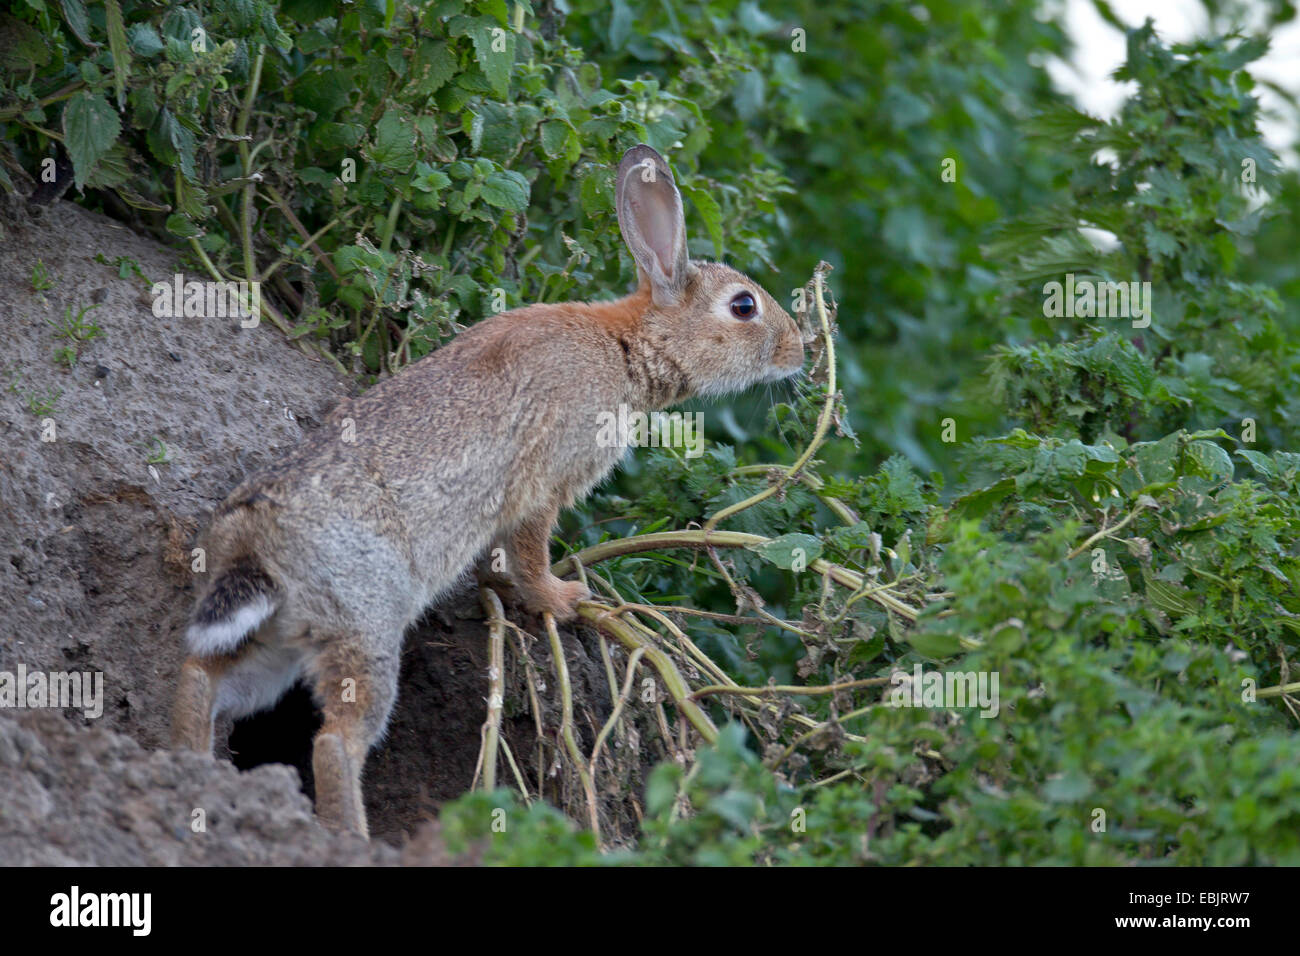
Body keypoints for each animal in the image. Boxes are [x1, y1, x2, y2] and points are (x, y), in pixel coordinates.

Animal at [170, 144, 806, 837]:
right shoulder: (542, 484)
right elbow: (529, 554)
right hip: (363, 628)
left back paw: (193, 772)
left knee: (201, 680)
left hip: (277, 645)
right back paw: (348, 835)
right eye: (743, 306)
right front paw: (561, 600)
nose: (801, 348)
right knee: (334, 740)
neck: (627, 346)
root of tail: (253, 544)